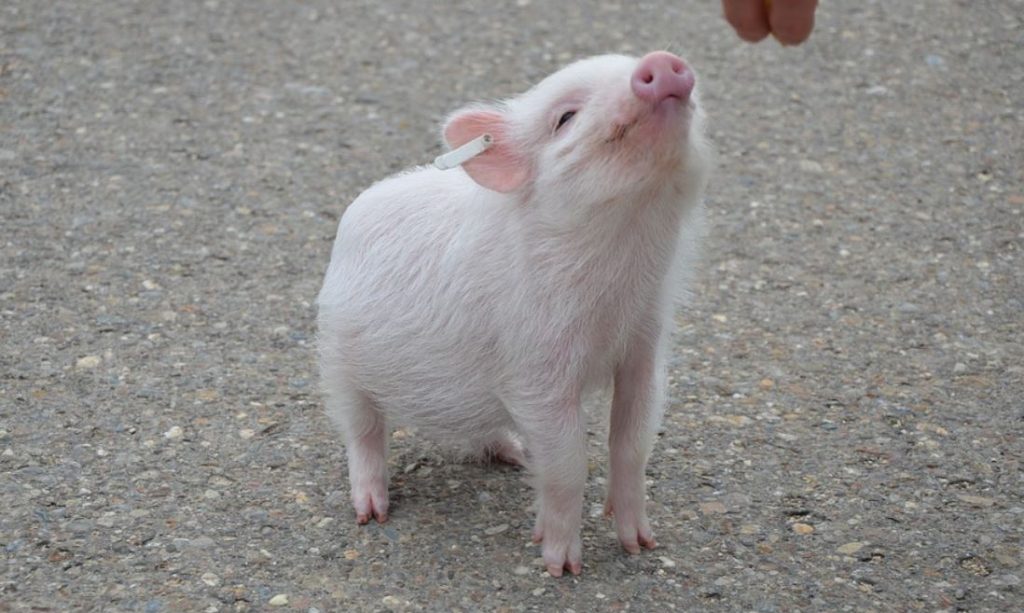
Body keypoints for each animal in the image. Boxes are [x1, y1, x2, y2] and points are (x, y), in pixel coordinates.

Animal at [317, 51, 711, 577]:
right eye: (565, 118)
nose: (661, 62)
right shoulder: (536, 369)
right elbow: (568, 463)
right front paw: (562, 566)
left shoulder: (645, 347)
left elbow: (632, 443)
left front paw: (641, 546)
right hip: (336, 355)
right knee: (361, 430)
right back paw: (371, 512)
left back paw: (516, 454)